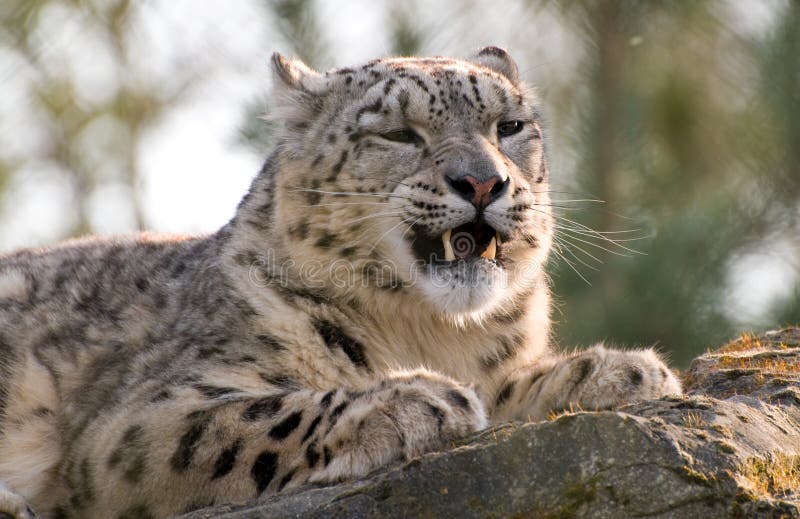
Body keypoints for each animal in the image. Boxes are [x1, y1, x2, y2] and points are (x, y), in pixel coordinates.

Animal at [0, 47, 681, 519]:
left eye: (509, 126)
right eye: (398, 134)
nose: (485, 181)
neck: (428, 331)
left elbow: (505, 387)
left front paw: (617, 372)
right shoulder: (139, 422)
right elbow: (255, 417)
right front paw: (412, 401)